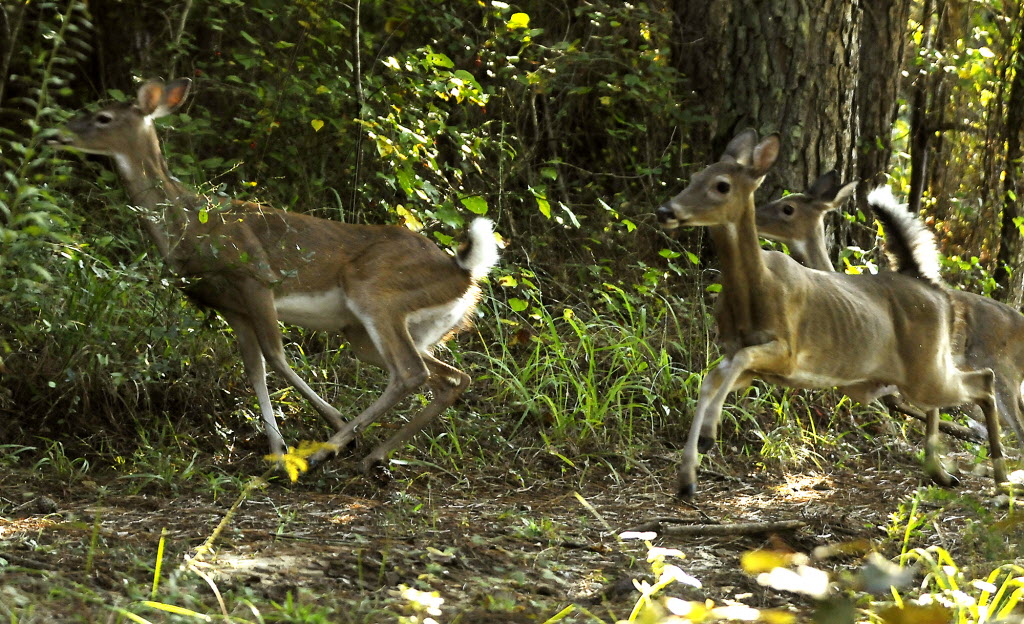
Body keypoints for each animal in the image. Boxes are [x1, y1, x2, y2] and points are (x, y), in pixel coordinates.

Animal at [50, 78, 499, 475]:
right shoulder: (228, 306)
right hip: (378, 332)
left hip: (376, 293)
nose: (56, 135)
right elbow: (255, 369)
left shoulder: (256, 277)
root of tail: (462, 273)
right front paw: (279, 447)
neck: (189, 226)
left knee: (411, 372)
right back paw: (373, 457)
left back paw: (330, 451)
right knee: (448, 377)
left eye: (103, 117)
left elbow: (276, 357)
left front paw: (327, 431)